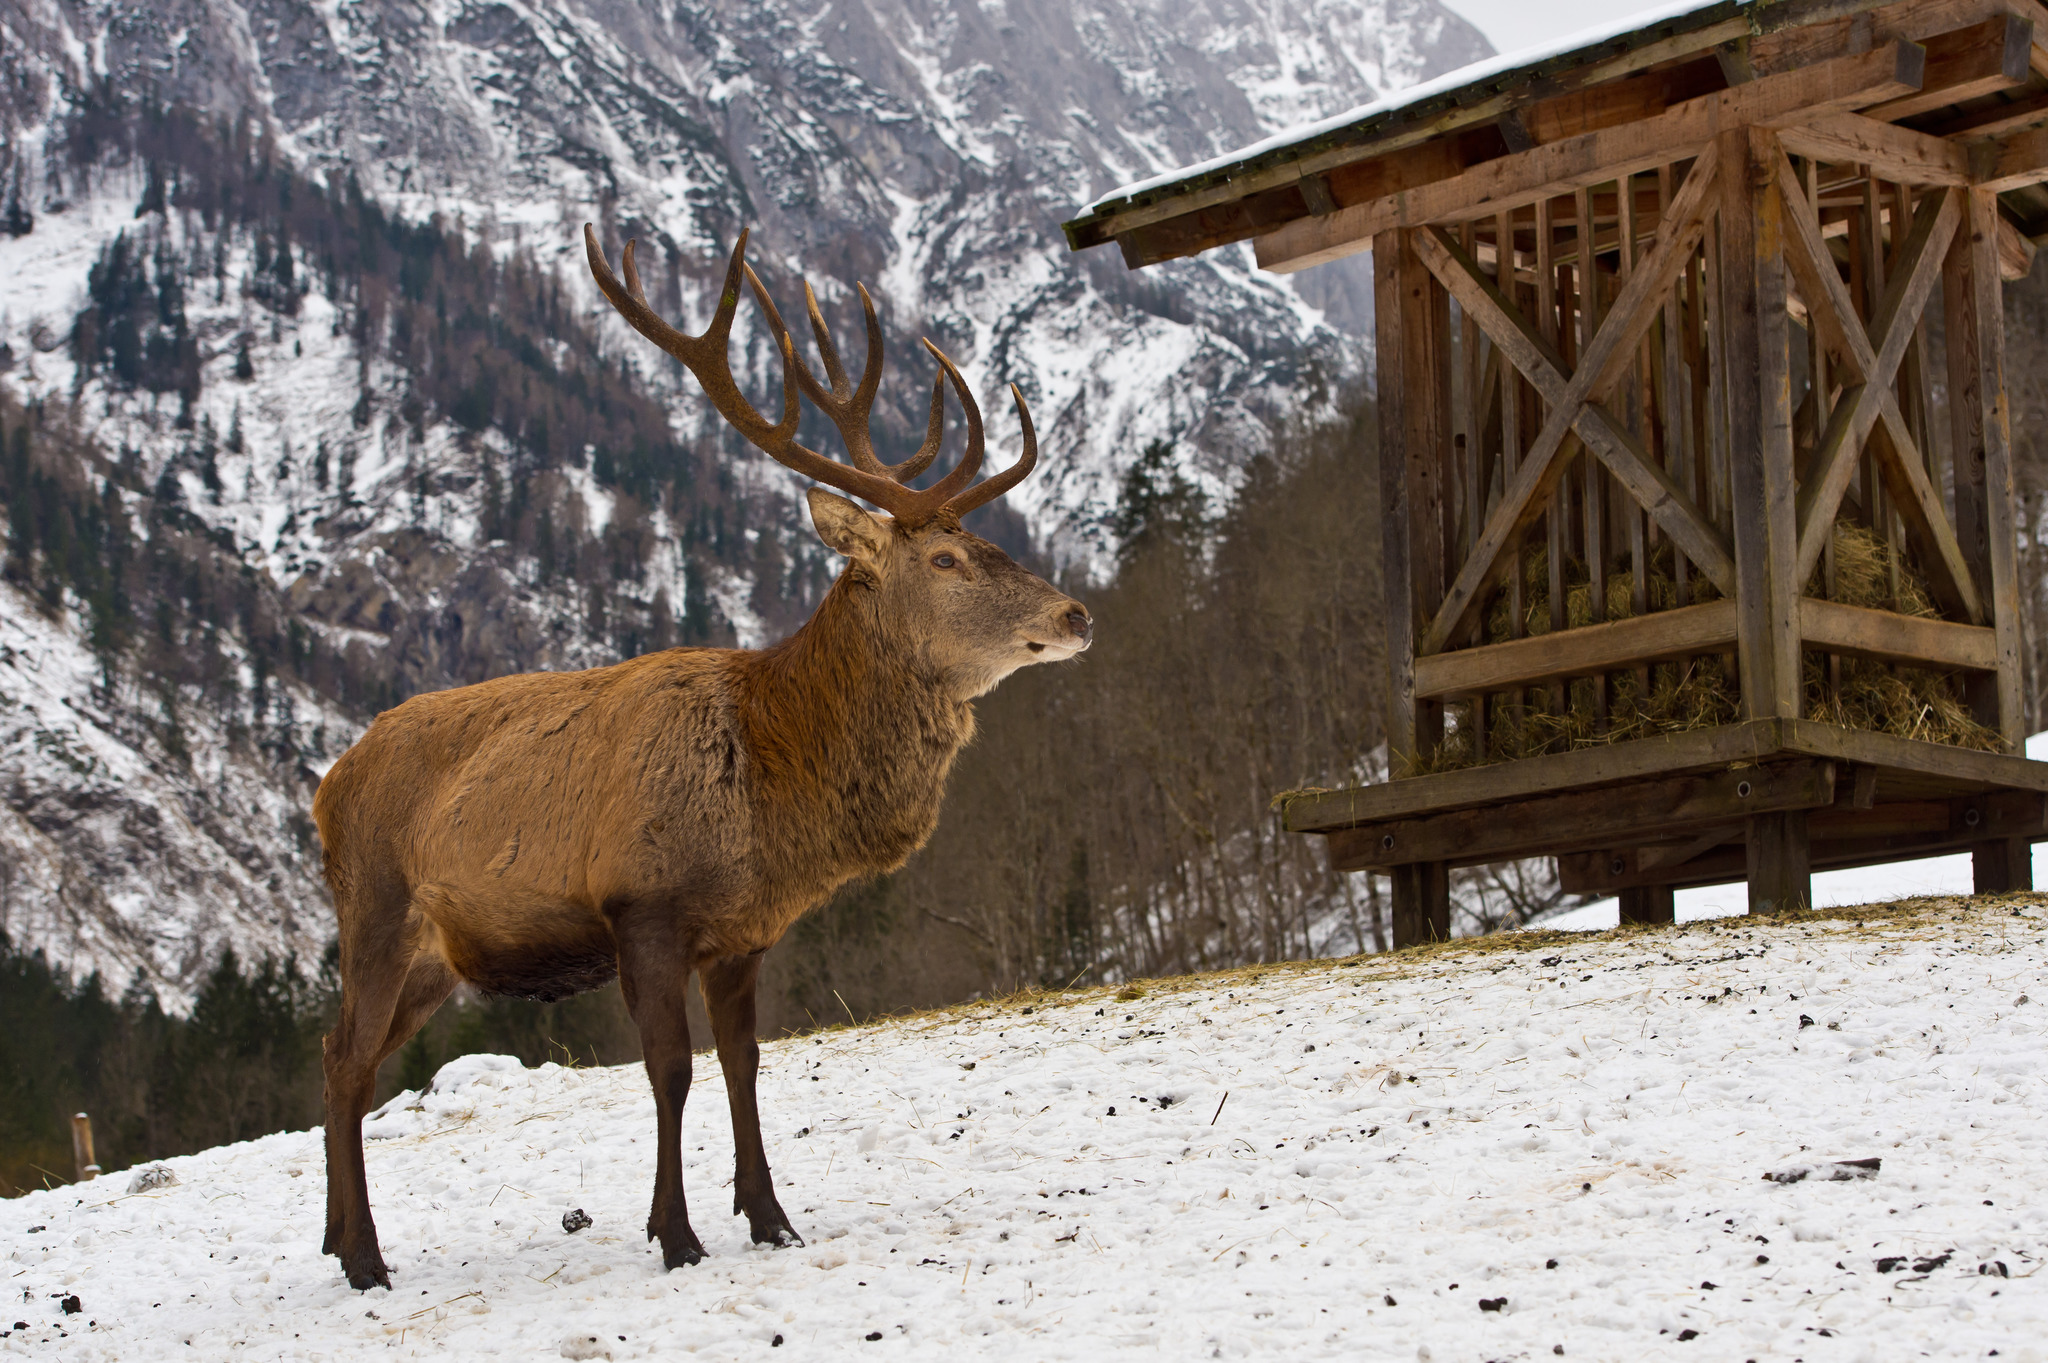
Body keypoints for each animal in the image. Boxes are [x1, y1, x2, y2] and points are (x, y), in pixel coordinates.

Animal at [311, 226, 1092, 1290]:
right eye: (945, 559)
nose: (1077, 613)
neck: (773, 792)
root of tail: (323, 787)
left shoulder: (743, 930)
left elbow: (744, 1062)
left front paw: (771, 1217)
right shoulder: (641, 904)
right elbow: (670, 1070)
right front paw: (675, 1233)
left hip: (436, 957)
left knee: (336, 1054)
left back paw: (335, 1239)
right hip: (379, 910)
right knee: (350, 1058)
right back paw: (364, 1258)